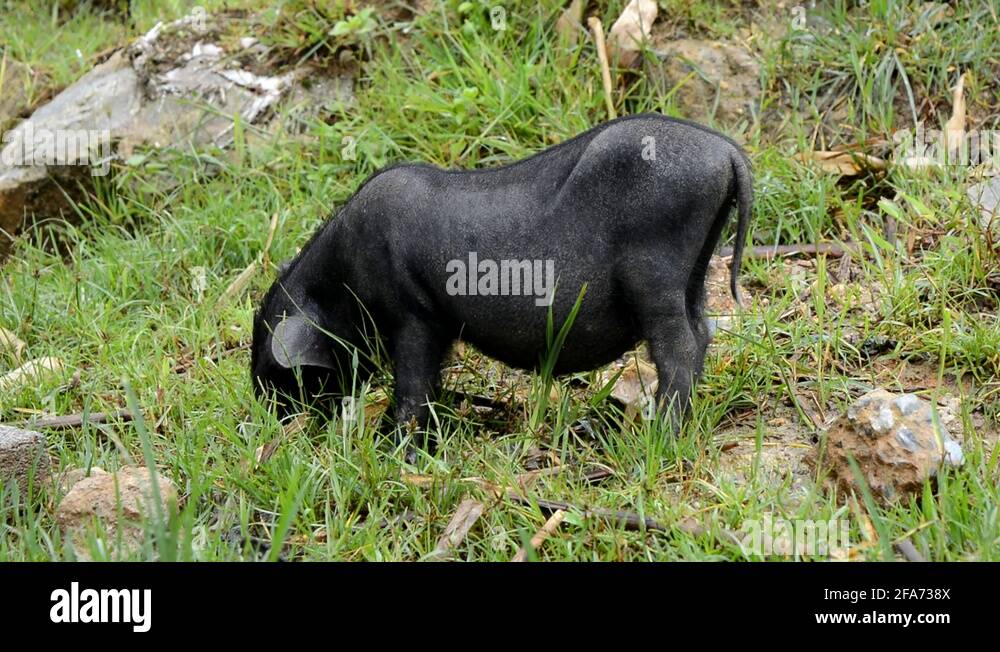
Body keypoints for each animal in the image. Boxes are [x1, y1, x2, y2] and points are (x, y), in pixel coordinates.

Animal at [251, 113, 752, 445]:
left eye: (280, 371)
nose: (265, 414)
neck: (340, 283)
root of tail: (728, 152)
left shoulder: (414, 317)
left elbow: (413, 384)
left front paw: (393, 445)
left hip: (655, 273)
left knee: (679, 347)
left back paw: (657, 435)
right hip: (694, 269)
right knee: (701, 332)